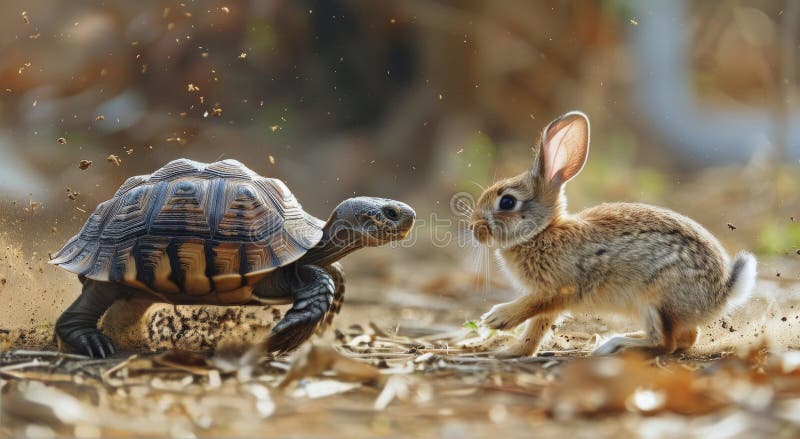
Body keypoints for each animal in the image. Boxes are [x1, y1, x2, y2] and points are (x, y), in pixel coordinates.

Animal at [470, 111, 757, 357]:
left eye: (507, 202)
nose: (474, 229)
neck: (541, 232)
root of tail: (722, 293)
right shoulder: (550, 301)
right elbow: (537, 329)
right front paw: (511, 351)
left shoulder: (559, 287)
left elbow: (532, 307)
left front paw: (496, 318)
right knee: (686, 338)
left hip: (656, 298)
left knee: (666, 343)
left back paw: (614, 345)